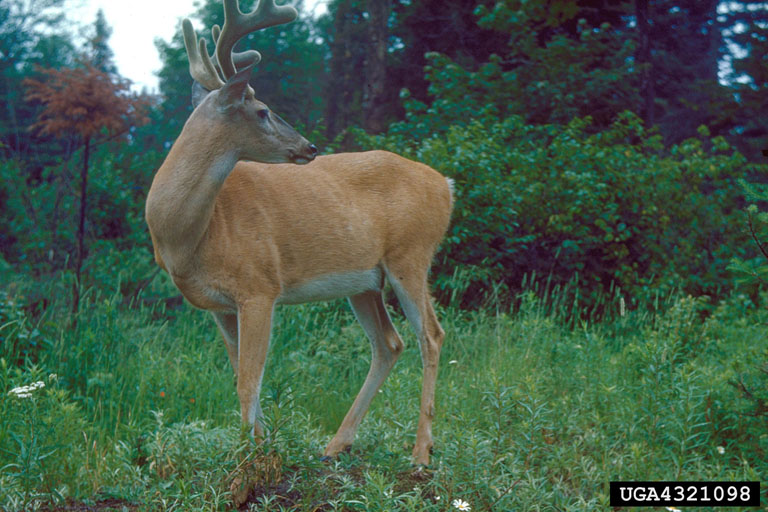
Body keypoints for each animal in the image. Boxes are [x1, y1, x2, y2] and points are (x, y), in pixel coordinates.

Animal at [145, 0, 453, 473]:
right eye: (262, 111)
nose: (309, 146)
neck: (190, 236)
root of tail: (447, 186)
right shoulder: (219, 307)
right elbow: (239, 376)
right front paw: (261, 447)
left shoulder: (259, 286)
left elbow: (249, 381)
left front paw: (248, 461)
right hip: (365, 281)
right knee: (389, 343)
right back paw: (336, 445)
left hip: (412, 255)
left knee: (431, 336)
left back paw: (421, 452)